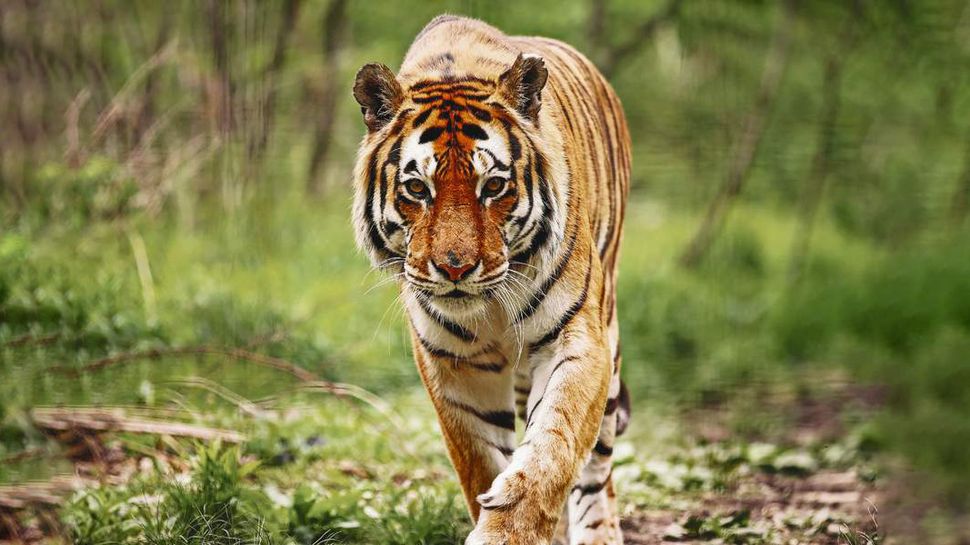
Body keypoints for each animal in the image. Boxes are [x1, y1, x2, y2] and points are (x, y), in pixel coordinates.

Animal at [351, 15, 631, 545]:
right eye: (417, 188)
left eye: (494, 186)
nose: (455, 268)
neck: (492, 308)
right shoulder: (456, 364)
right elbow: (481, 463)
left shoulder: (576, 338)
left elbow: (553, 443)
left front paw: (511, 527)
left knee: (597, 471)